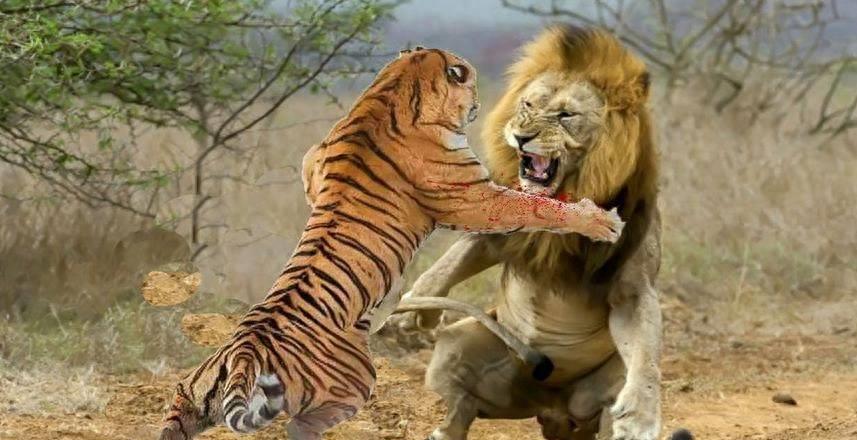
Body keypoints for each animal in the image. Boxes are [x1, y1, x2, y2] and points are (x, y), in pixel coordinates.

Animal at [158, 47, 625, 440]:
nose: (482, 103)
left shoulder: (313, 160)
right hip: (354, 381)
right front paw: (601, 221)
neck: (394, 87)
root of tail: (243, 355)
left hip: (188, 397)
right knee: (299, 426)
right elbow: (537, 206)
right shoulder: (476, 198)